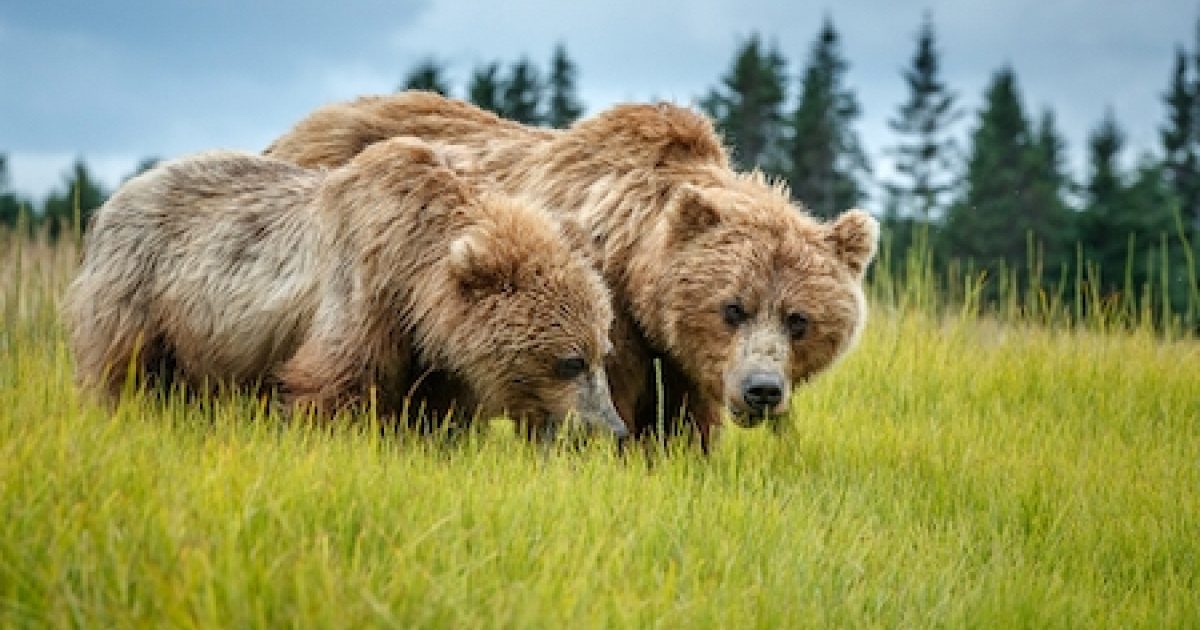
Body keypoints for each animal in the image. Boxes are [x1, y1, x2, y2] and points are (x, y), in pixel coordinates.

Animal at [65, 136, 628, 440]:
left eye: (602, 350)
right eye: (570, 360)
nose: (612, 428)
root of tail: (120, 195)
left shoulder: (431, 346)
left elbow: (433, 409)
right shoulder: (363, 284)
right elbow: (337, 378)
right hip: (141, 289)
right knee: (126, 368)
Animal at [265, 93, 878, 448]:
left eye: (798, 319)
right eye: (734, 307)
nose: (762, 390)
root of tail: (297, 128)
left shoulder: (687, 362)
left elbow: (683, 425)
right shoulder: (603, 323)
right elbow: (593, 407)